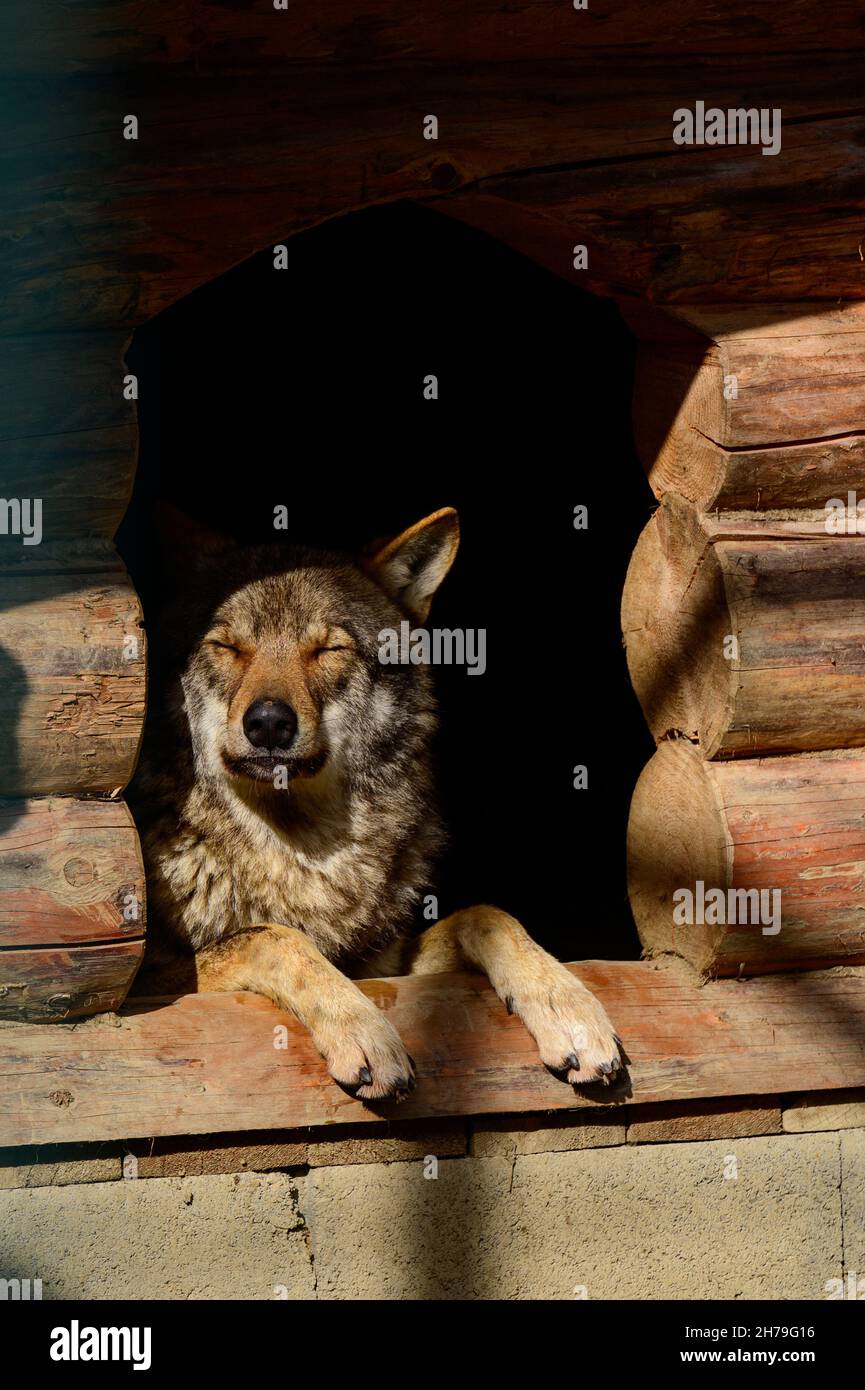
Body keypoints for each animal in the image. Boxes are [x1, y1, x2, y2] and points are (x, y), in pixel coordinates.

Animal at [129, 507, 623, 1100]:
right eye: (226, 647)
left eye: (329, 649)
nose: (268, 722)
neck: (301, 851)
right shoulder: (145, 986)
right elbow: (276, 937)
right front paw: (365, 1030)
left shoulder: (385, 961)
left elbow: (486, 914)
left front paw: (568, 1007)